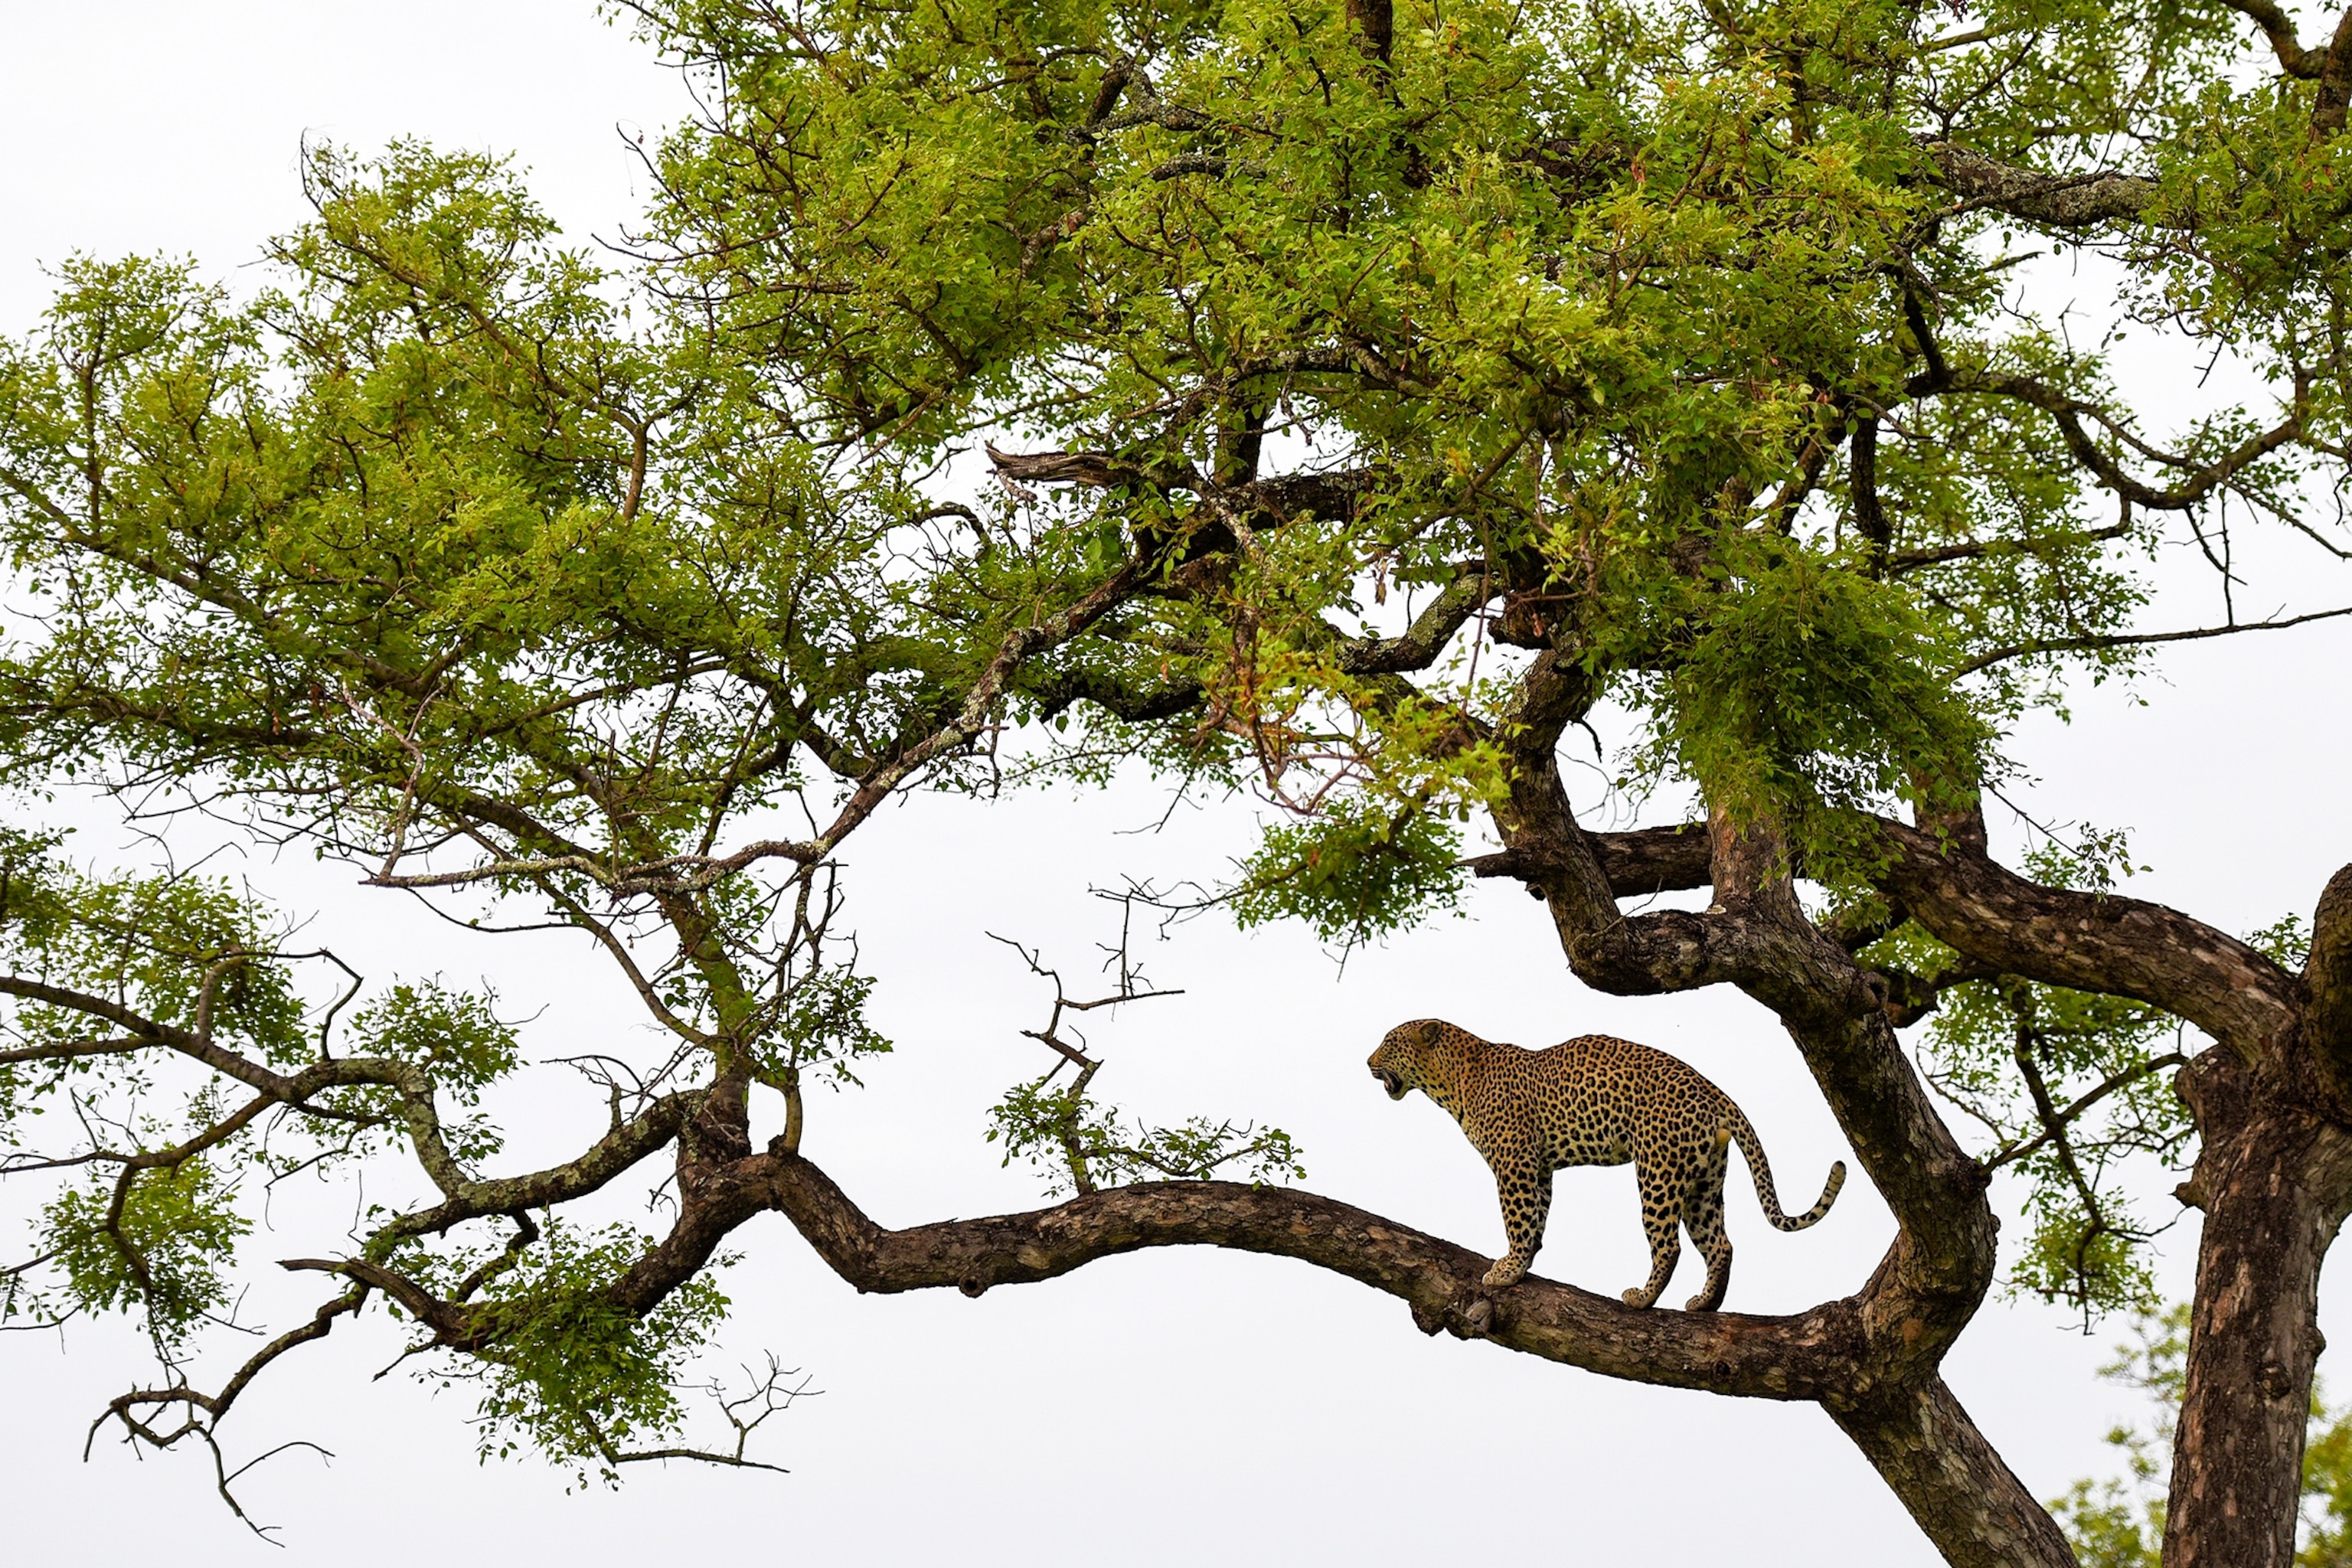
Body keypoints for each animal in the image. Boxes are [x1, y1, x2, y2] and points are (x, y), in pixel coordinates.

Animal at [1368, 1018, 1846, 1309]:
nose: (1367, 1062)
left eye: (1389, 1043)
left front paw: (1507, 1271)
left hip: (1658, 1172)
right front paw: (1526, 1262)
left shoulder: (1514, 1164)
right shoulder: (1540, 1168)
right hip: (1704, 1182)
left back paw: (1643, 1298)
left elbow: (1516, 1218)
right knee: (1720, 1244)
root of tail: (1712, 1089)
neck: (1454, 1081)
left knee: (1669, 1245)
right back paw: (1705, 1304)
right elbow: (1537, 1217)